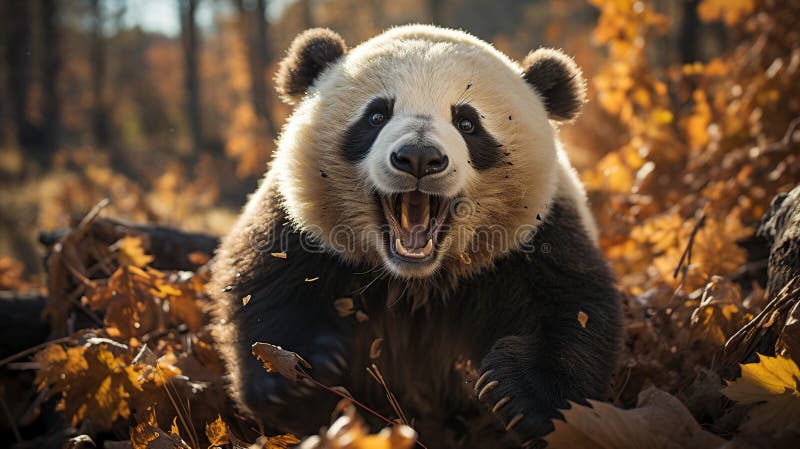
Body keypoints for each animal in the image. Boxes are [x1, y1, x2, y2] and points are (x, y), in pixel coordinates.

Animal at [210, 25, 621, 448]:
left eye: (468, 122)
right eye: (376, 115)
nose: (419, 157)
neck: (416, 281)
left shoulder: (536, 236)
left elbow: (573, 304)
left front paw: (521, 395)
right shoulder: (298, 227)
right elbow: (262, 281)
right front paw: (297, 373)